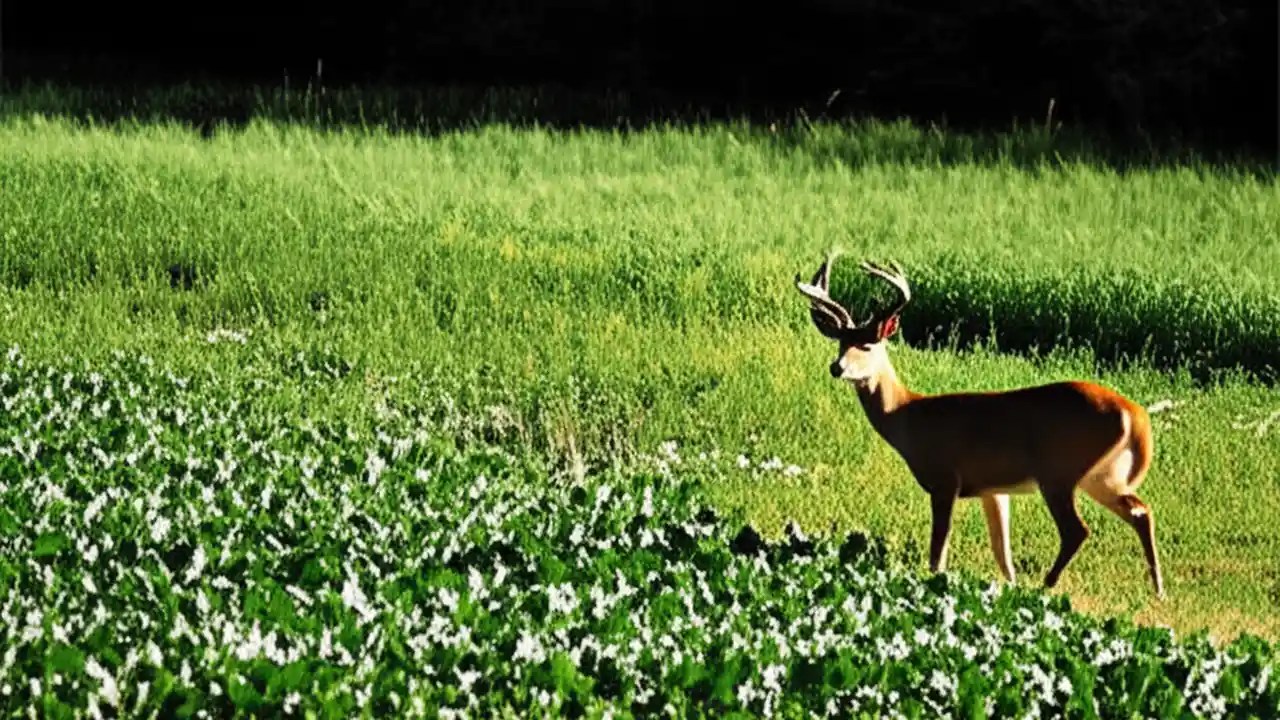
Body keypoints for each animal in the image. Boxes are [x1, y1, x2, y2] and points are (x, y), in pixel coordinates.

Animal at [795, 252, 1164, 598]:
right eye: (841, 343)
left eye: (867, 344)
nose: (837, 367)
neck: (908, 416)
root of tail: (1135, 415)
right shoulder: (993, 489)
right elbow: (1003, 554)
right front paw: (1008, 589)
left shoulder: (945, 479)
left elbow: (938, 553)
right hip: (1103, 477)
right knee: (1141, 511)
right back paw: (1157, 588)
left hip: (1060, 471)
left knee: (1078, 529)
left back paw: (1047, 584)